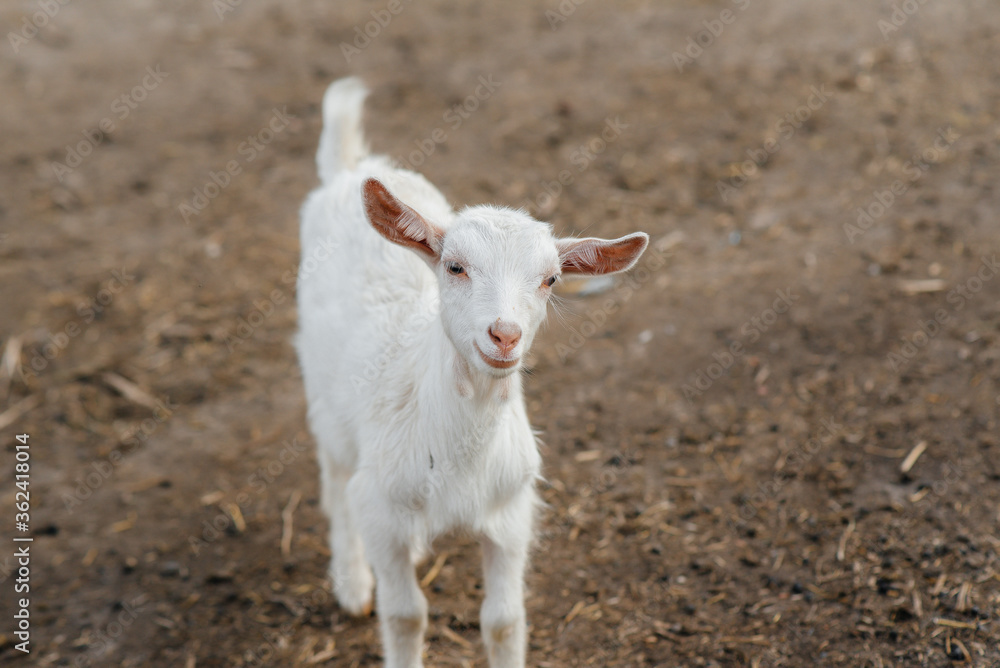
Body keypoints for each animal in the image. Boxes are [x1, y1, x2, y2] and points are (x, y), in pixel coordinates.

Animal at [295, 77, 649, 668]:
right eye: (455, 266)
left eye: (551, 279)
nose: (504, 335)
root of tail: (349, 170)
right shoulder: (382, 512)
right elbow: (405, 615)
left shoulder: (511, 515)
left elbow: (504, 621)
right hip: (324, 395)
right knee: (333, 474)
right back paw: (351, 582)